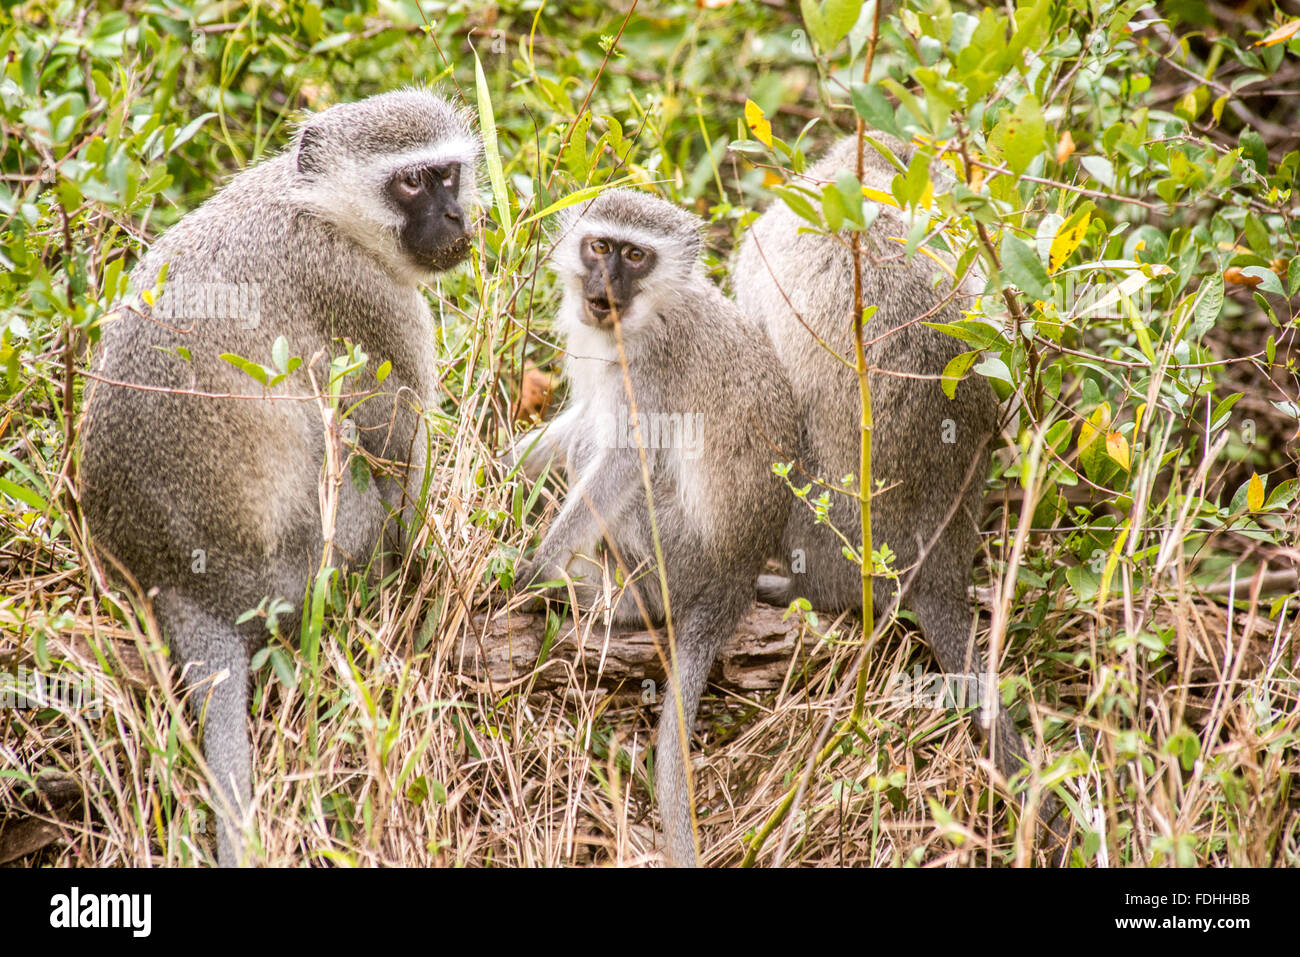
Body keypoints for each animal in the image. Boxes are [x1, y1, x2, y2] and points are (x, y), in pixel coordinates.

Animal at [78, 89, 479, 866]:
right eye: (411, 183)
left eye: (448, 175)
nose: (454, 218)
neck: (318, 209)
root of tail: (179, 583)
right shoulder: (360, 294)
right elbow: (397, 449)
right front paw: (428, 578)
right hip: (305, 566)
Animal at [508, 189, 799, 867]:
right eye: (600, 246)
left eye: (636, 256)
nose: (604, 284)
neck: (648, 316)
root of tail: (738, 570)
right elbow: (581, 416)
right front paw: (496, 469)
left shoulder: (653, 373)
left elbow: (622, 457)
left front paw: (536, 569)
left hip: (678, 551)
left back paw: (616, 603)